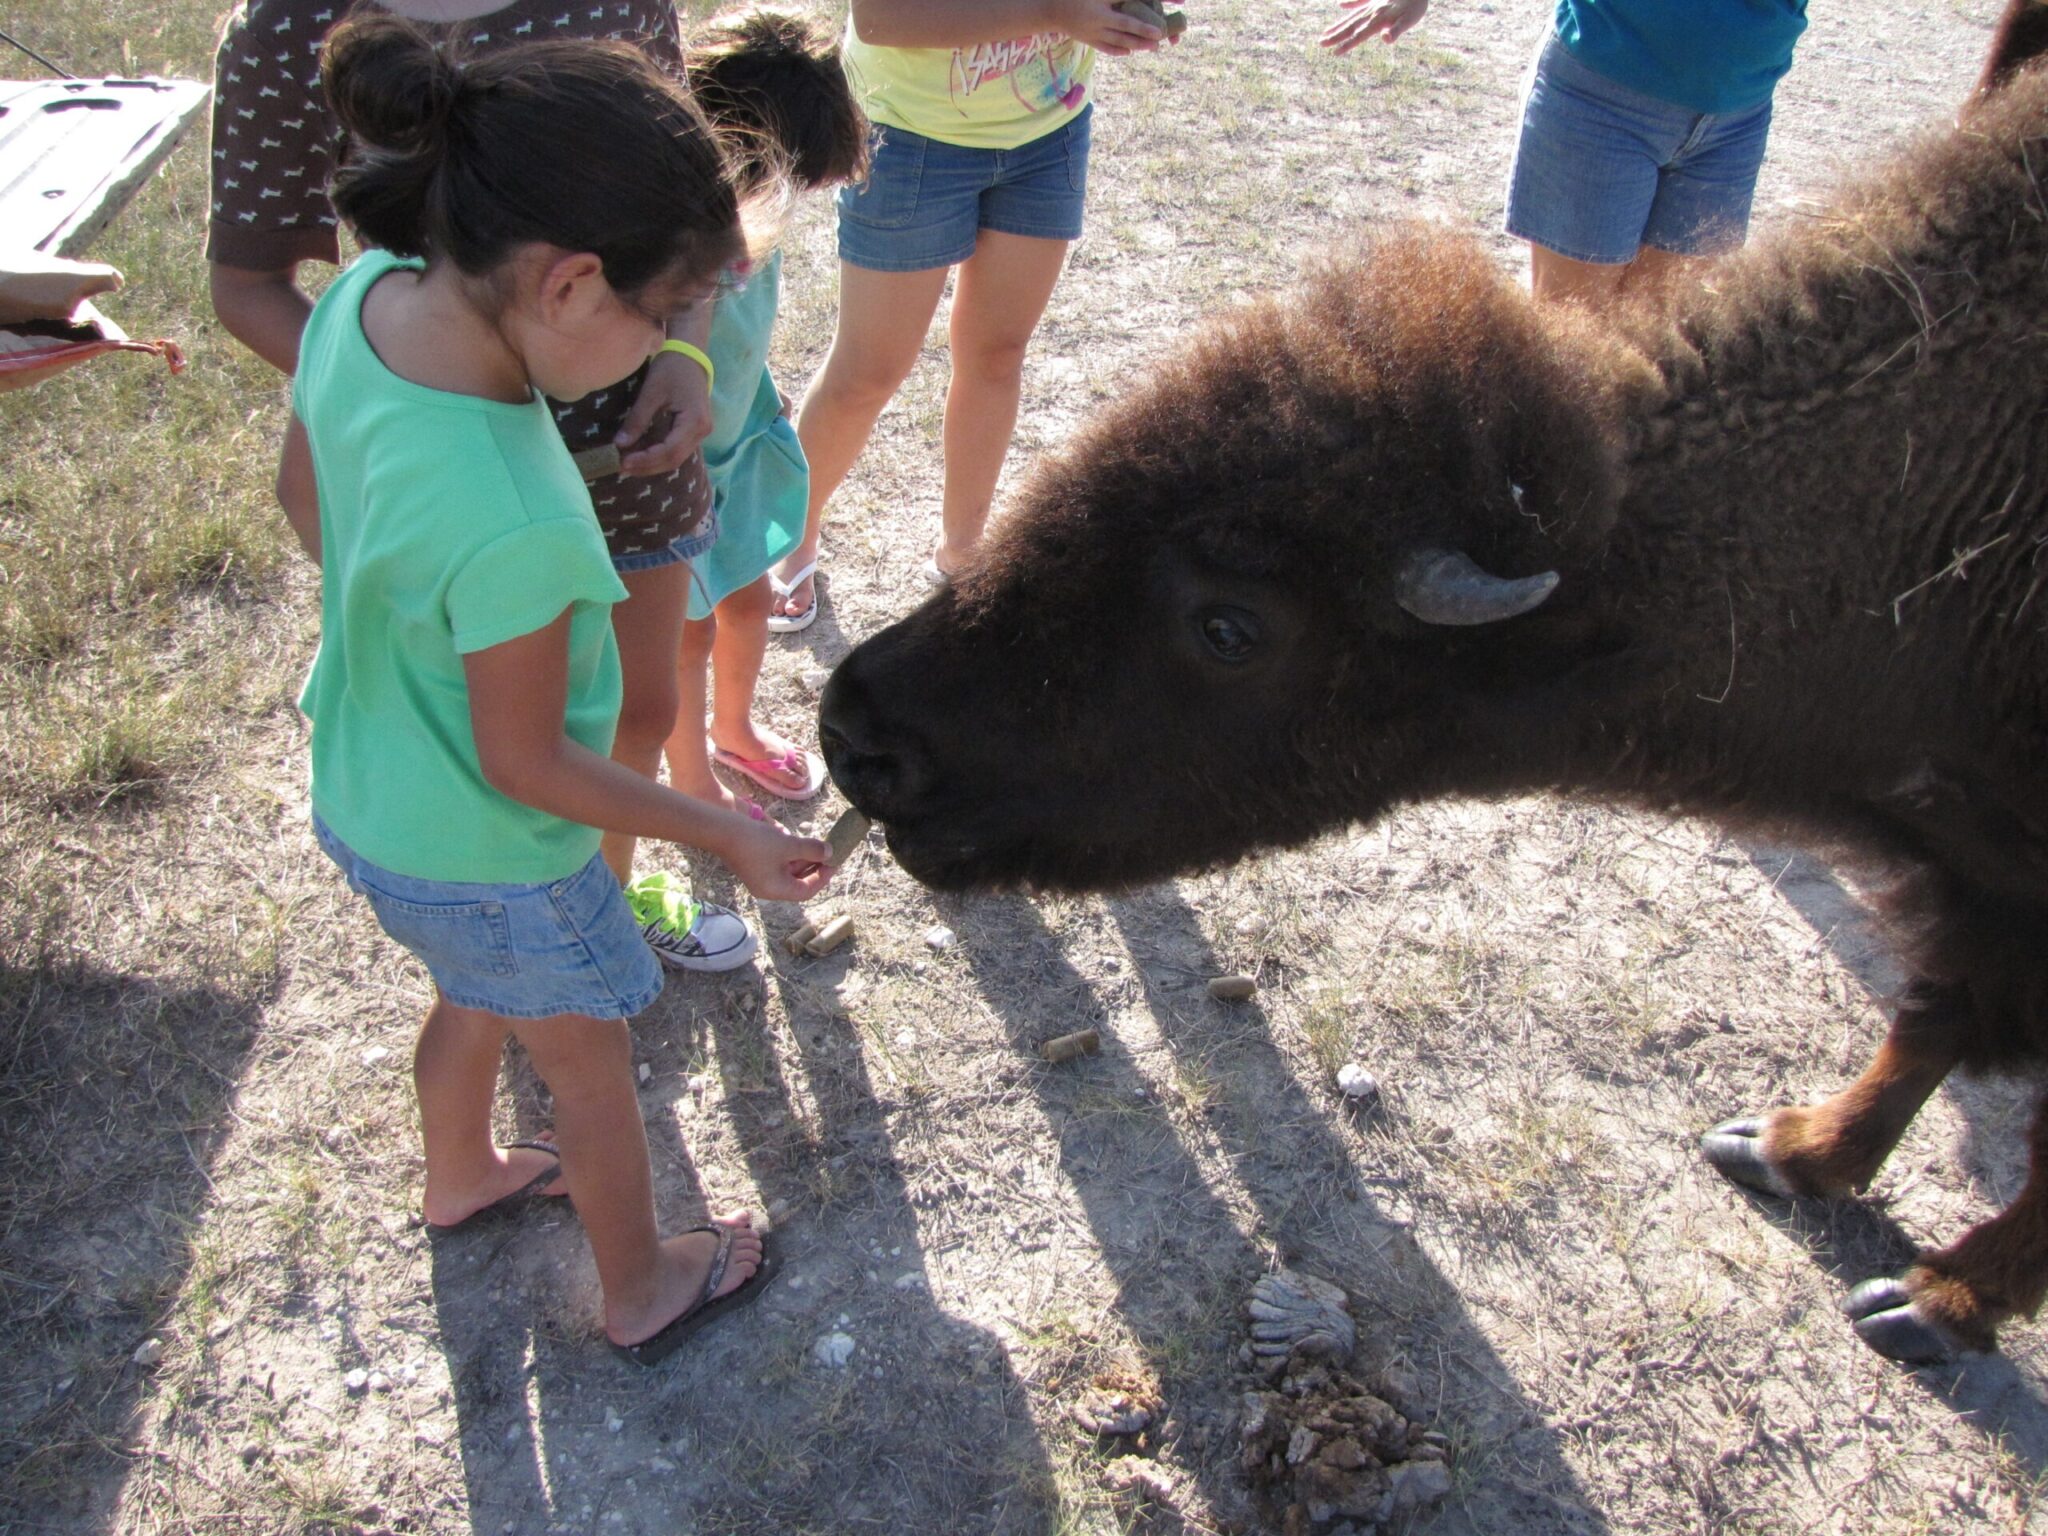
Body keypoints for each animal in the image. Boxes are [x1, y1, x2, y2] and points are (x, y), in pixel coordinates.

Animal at [822, 10, 2048, 1365]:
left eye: (1229, 624)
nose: (857, 728)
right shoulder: (1982, 885)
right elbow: (1930, 1013)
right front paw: (1791, 1152)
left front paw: (1929, 1301)